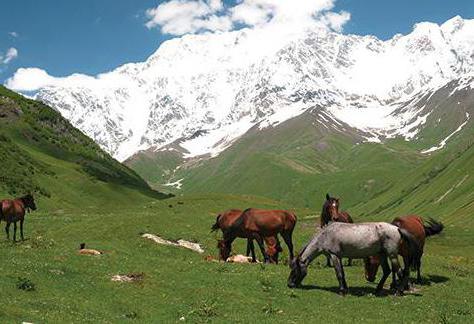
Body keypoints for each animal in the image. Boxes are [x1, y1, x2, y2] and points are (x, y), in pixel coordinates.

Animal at [286, 221, 420, 294]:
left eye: (295, 269)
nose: (289, 284)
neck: (325, 235)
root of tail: (397, 228)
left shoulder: (334, 255)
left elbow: (339, 274)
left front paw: (341, 290)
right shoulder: (339, 257)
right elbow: (342, 273)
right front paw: (345, 288)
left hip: (392, 255)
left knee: (401, 272)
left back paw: (399, 291)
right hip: (382, 255)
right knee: (387, 271)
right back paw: (377, 289)